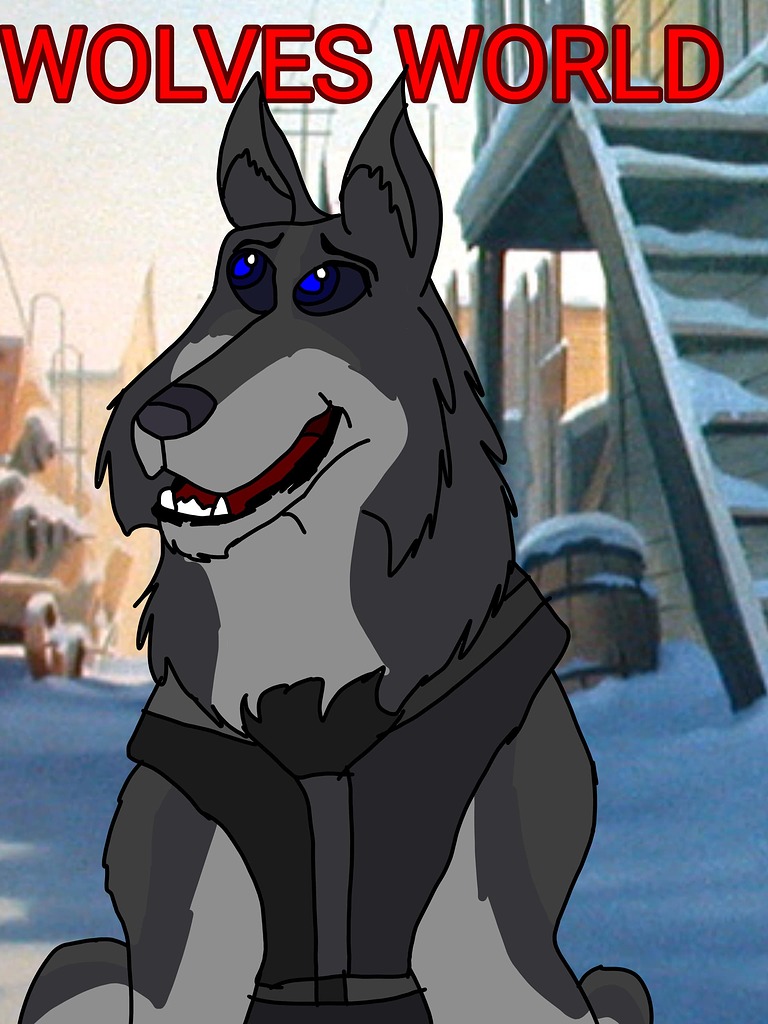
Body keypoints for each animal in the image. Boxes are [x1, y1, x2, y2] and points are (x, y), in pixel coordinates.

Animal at [20, 76, 652, 1024]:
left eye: (326, 283)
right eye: (237, 272)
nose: (153, 416)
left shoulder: (508, 954)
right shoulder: (177, 958)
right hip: (77, 971)